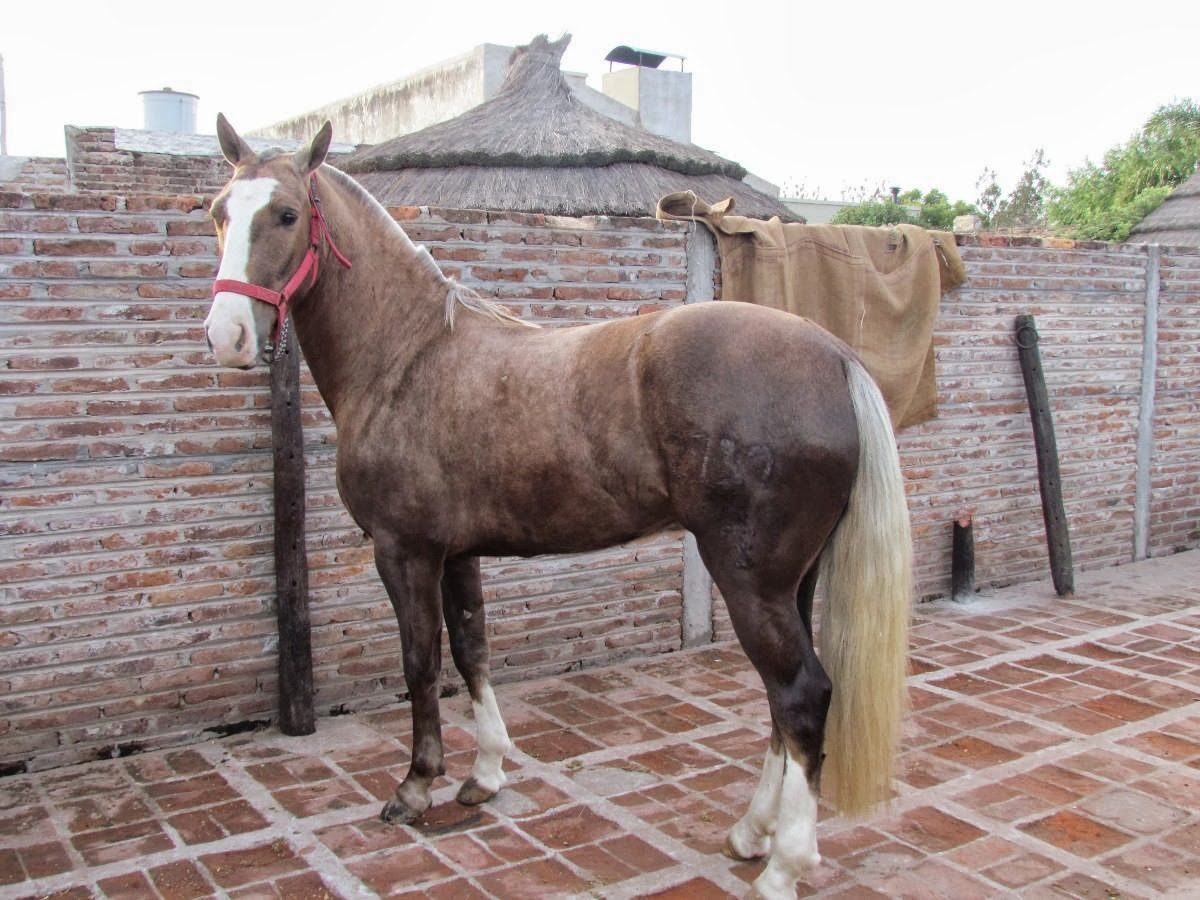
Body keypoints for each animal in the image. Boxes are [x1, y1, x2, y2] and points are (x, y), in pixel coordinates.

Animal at [203, 115, 912, 900]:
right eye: (219, 213)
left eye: (286, 214)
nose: (227, 337)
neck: (409, 358)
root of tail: (833, 356)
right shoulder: (457, 554)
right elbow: (472, 651)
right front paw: (483, 775)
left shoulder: (404, 551)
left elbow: (421, 662)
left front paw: (416, 786)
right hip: (791, 583)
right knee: (780, 705)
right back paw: (750, 833)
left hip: (751, 583)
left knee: (800, 697)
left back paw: (784, 863)